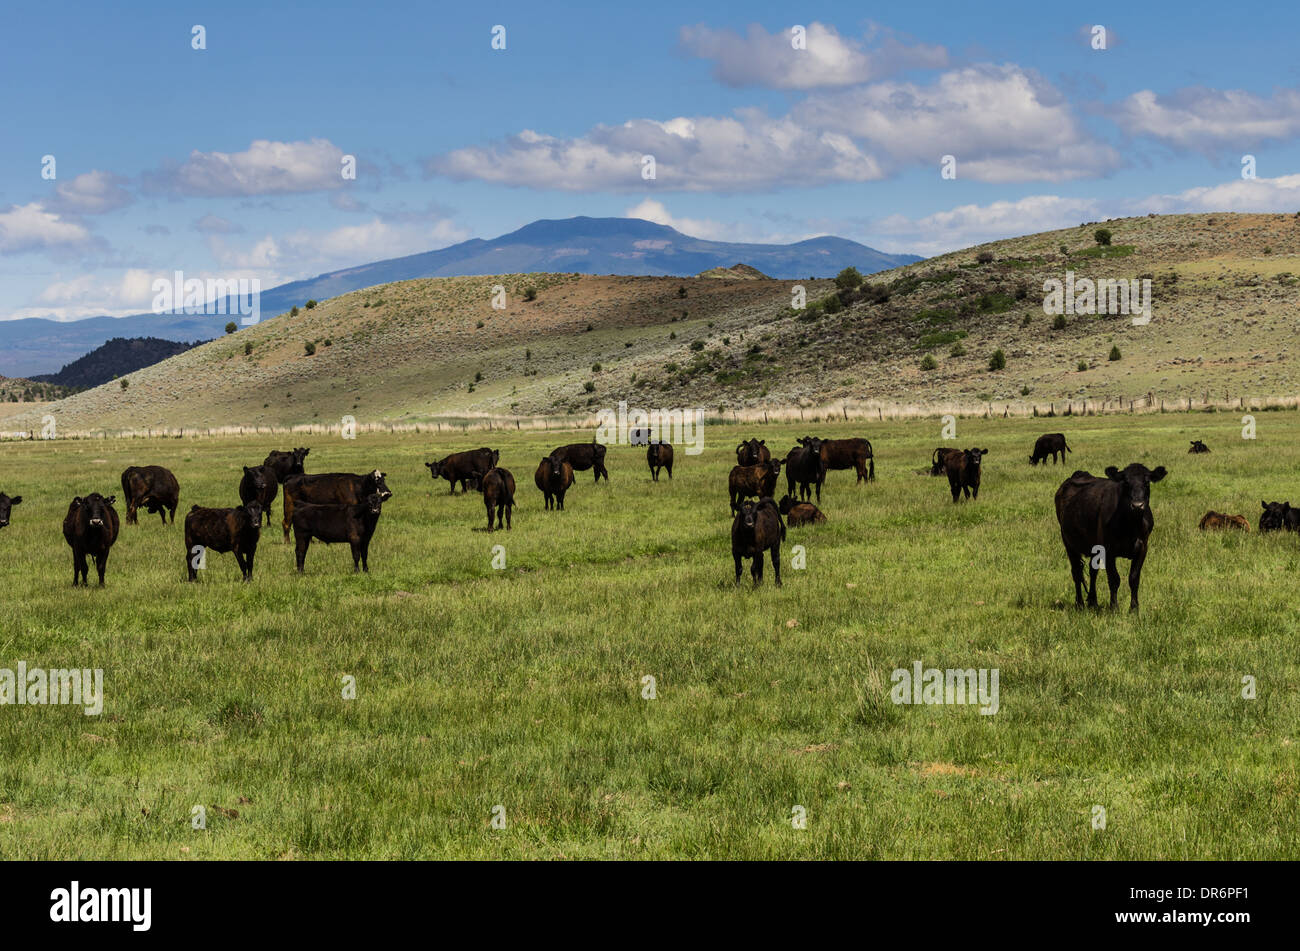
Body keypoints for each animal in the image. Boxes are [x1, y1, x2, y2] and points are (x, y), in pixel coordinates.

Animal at [1054, 463, 1167, 612]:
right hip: (1068, 542)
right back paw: (1079, 604)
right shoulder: (1108, 549)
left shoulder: (1143, 547)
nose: (1137, 505)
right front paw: (1114, 608)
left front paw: (1134, 609)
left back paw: (1093, 602)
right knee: (1077, 572)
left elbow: (1134, 578)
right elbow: (1114, 579)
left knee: (1092, 571)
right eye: (1126, 482)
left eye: (1147, 482)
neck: (1130, 525)